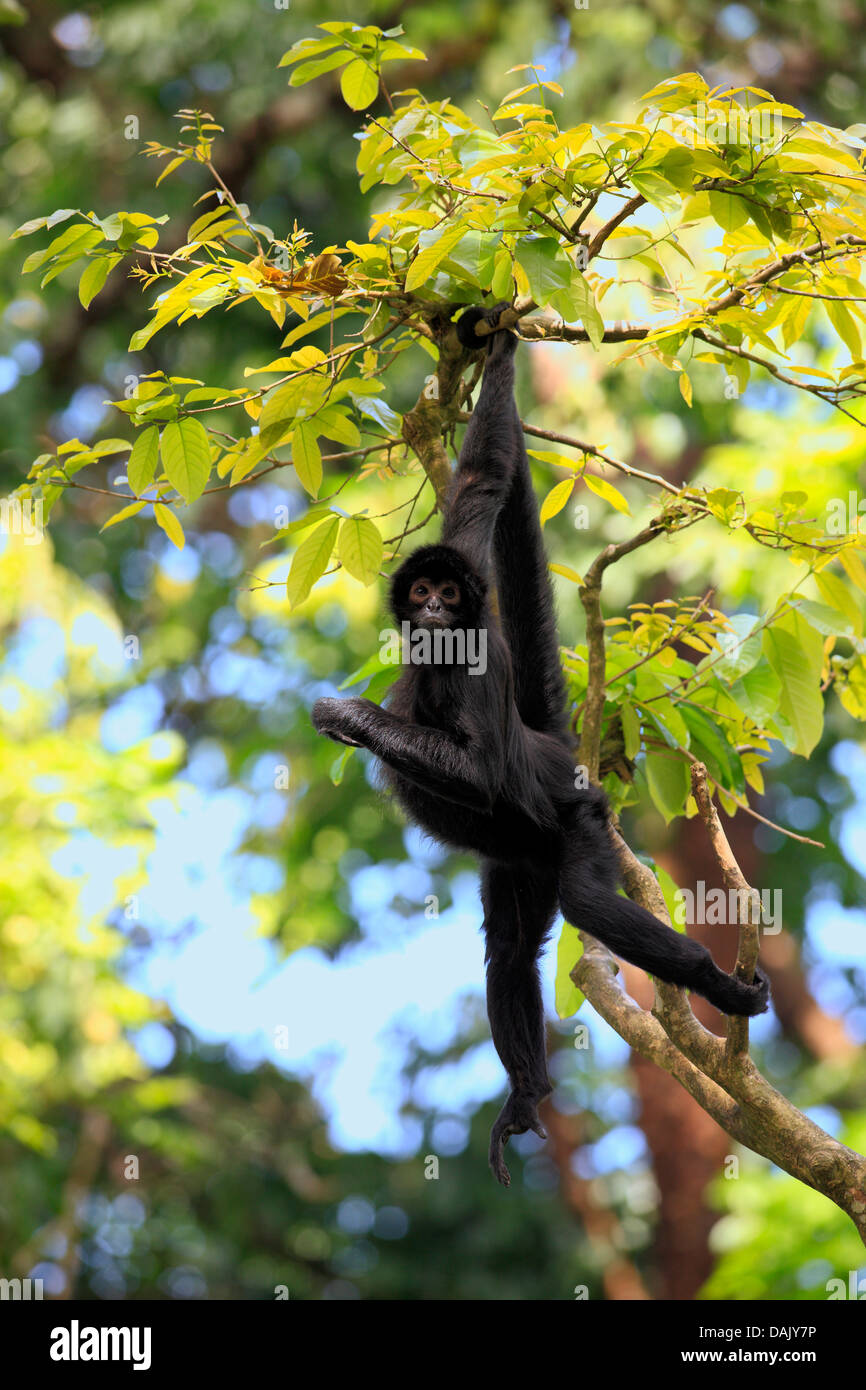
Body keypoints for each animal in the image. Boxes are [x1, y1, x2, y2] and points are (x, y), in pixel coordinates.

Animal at [312, 304, 769, 1186]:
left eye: (448, 594)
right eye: (422, 589)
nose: (432, 608)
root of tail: (560, 756)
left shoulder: (473, 658)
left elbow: (483, 772)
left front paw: (348, 715)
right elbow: (480, 485)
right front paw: (490, 345)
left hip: (579, 818)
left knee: (584, 897)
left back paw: (714, 986)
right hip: (521, 858)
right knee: (510, 951)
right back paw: (528, 1092)